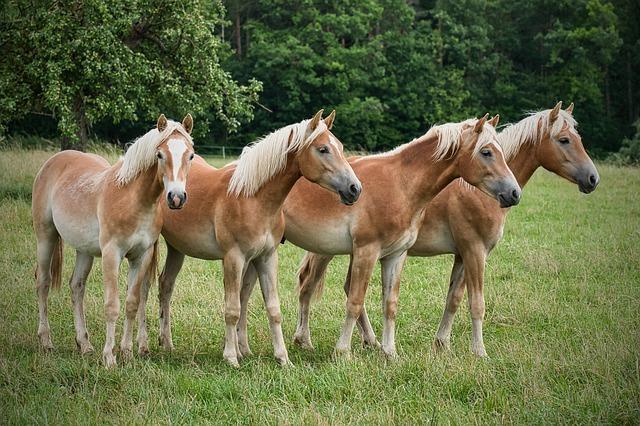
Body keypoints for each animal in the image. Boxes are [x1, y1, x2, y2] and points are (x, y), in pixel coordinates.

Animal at [32, 114, 195, 368]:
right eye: (159, 155)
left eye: (191, 155)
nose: (176, 198)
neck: (134, 200)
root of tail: (54, 161)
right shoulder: (111, 254)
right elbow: (112, 306)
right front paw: (109, 357)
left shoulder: (142, 256)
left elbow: (131, 303)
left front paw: (127, 353)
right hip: (45, 237)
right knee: (43, 283)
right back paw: (47, 341)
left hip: (84, 250)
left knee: (76, 286)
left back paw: (85, 345)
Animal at [136, 110, 361, 367]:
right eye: (323, 149)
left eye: (340, 147)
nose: (354, 188)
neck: (252, 198)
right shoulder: (233, 258)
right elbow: (233, 308)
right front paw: (231, 357)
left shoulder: (266, 257)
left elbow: (273, 309)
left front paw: (283, 358)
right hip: (149, 248)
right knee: (143, 290)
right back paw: (142, 346)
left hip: (177, 249)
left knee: (165, 286)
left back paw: (167, 343)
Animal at [232, 114, 522, 360]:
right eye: (486, 152)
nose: (514, 193)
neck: (401, 184)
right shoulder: (366, 251)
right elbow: (355, 300)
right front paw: (343, 352)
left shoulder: (396, 255)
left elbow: (390, 304)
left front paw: (389, 353)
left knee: (249, 293)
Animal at [294, 101, 599, 357]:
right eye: (564, 140)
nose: (593, 178)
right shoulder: (475, 250)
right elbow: (476, 303)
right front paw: (479, 352)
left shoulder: (462, 254)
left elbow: (453, 299)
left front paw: (442, 344)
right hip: (326, 250)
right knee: (309, 286)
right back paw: (305, 340)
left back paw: (371, 342)